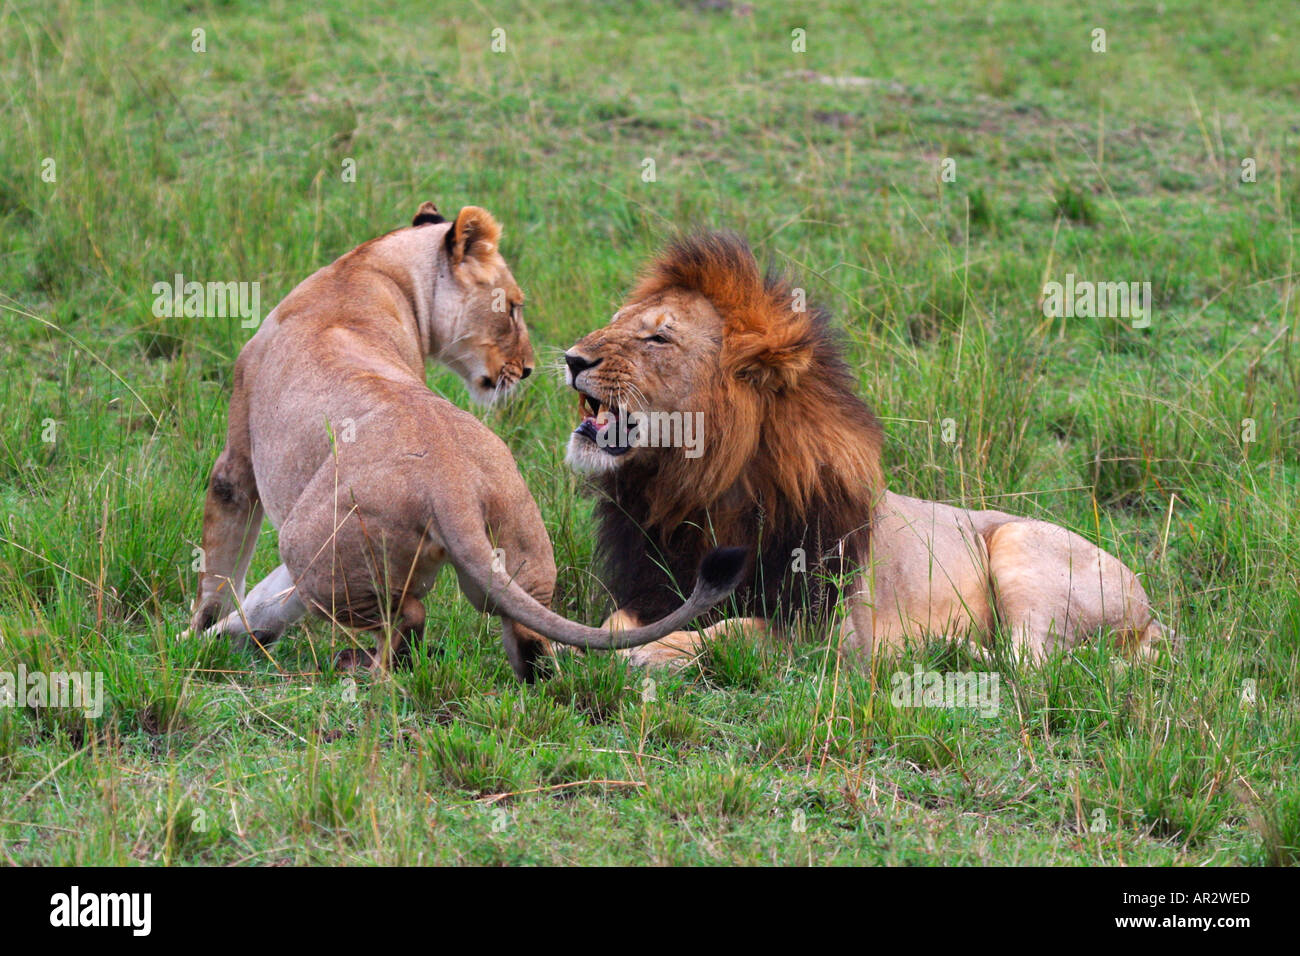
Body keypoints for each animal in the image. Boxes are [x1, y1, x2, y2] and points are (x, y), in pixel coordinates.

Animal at [187, 203, 744, 680]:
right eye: (512, 309)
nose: (526, 369)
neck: (371, 268)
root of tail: (448, 482)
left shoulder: (235, 467)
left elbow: (223, 567)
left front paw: (199, 632)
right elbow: (263, 597)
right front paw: (225, 635)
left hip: (307, 542)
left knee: (405, 616)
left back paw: (365, 670)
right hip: (515, 555)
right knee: (527, 638)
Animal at [562, 231, 1170, 668]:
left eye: (658, 338)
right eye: (616, 322)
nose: (571, 358)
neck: (699, 489)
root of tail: (1150, 611)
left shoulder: (831, 632)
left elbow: (732, 631)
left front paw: (653, 653)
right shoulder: (652, 590)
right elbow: (616, 623)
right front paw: (589, 643)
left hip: (1021, 548)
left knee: (1031, 663)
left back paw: (942, 649)